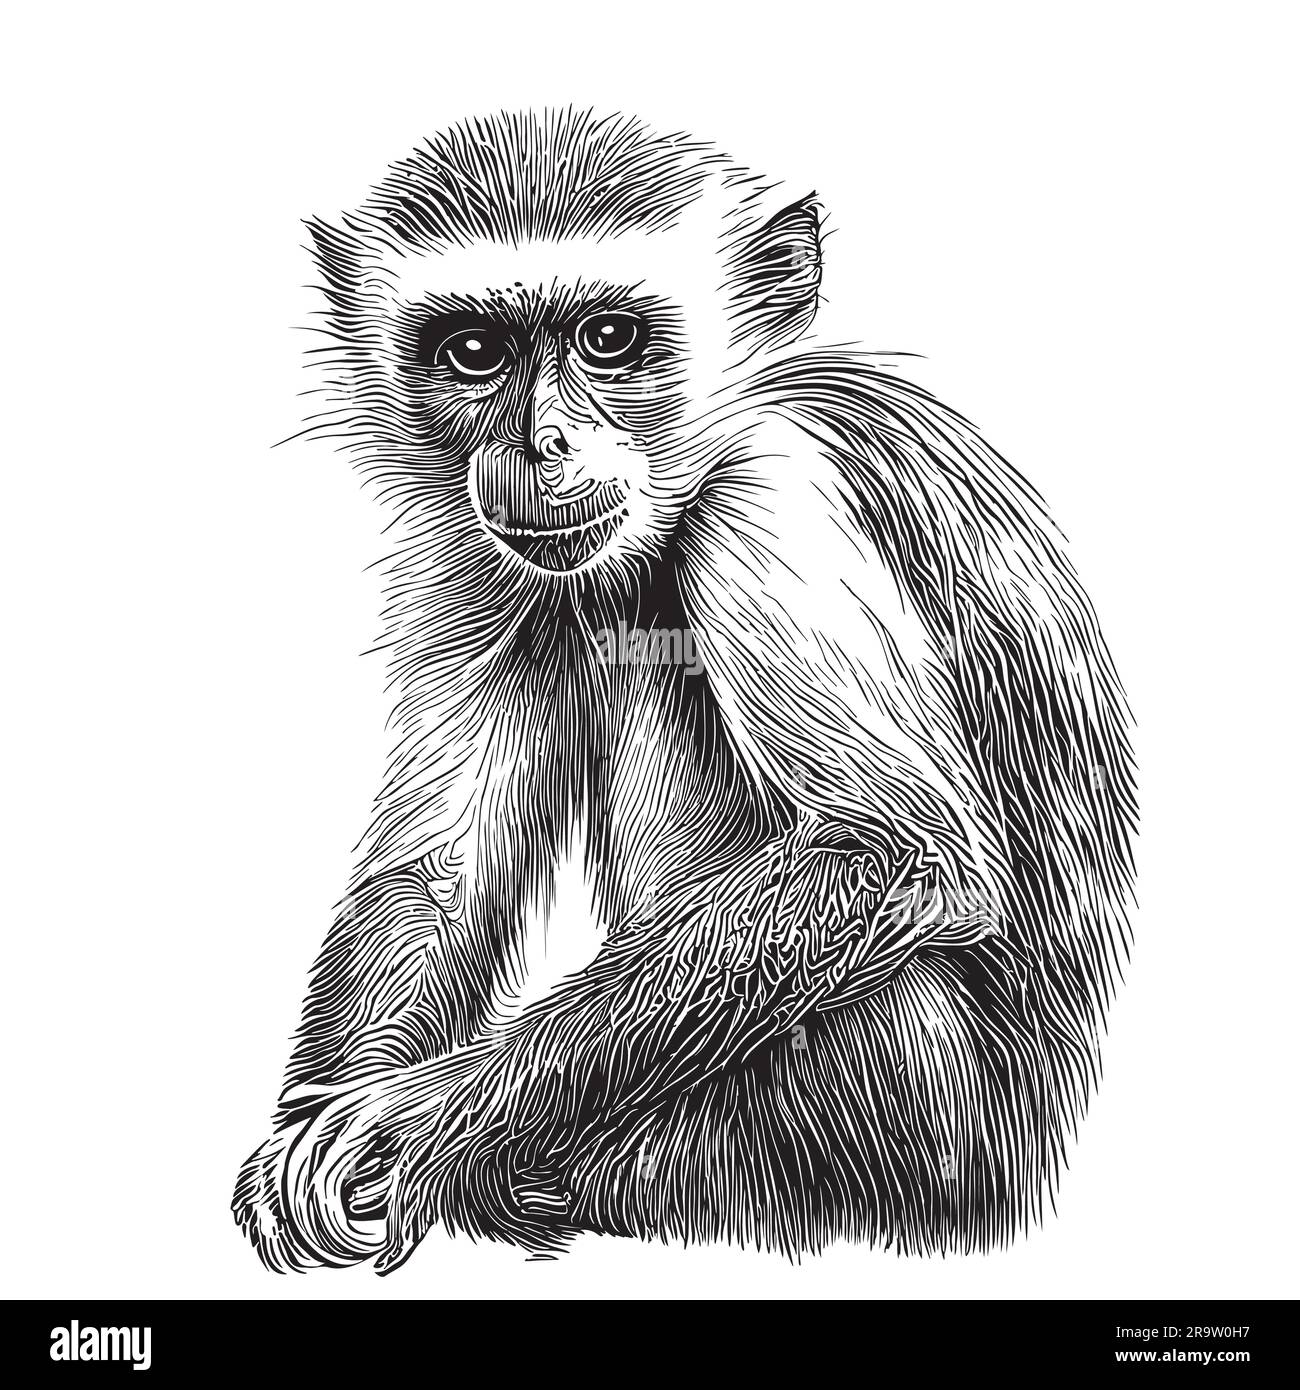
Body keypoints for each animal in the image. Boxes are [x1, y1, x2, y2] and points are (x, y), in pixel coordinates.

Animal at [232, 109, 1136, 1271]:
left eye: (610, 340)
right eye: (475, 352)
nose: (539, 443)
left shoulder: (770, 496)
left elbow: (887, 856)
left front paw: (412, 1121)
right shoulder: (478, 553)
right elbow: (439, 872)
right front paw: (318, 1114)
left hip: (911, 1135)